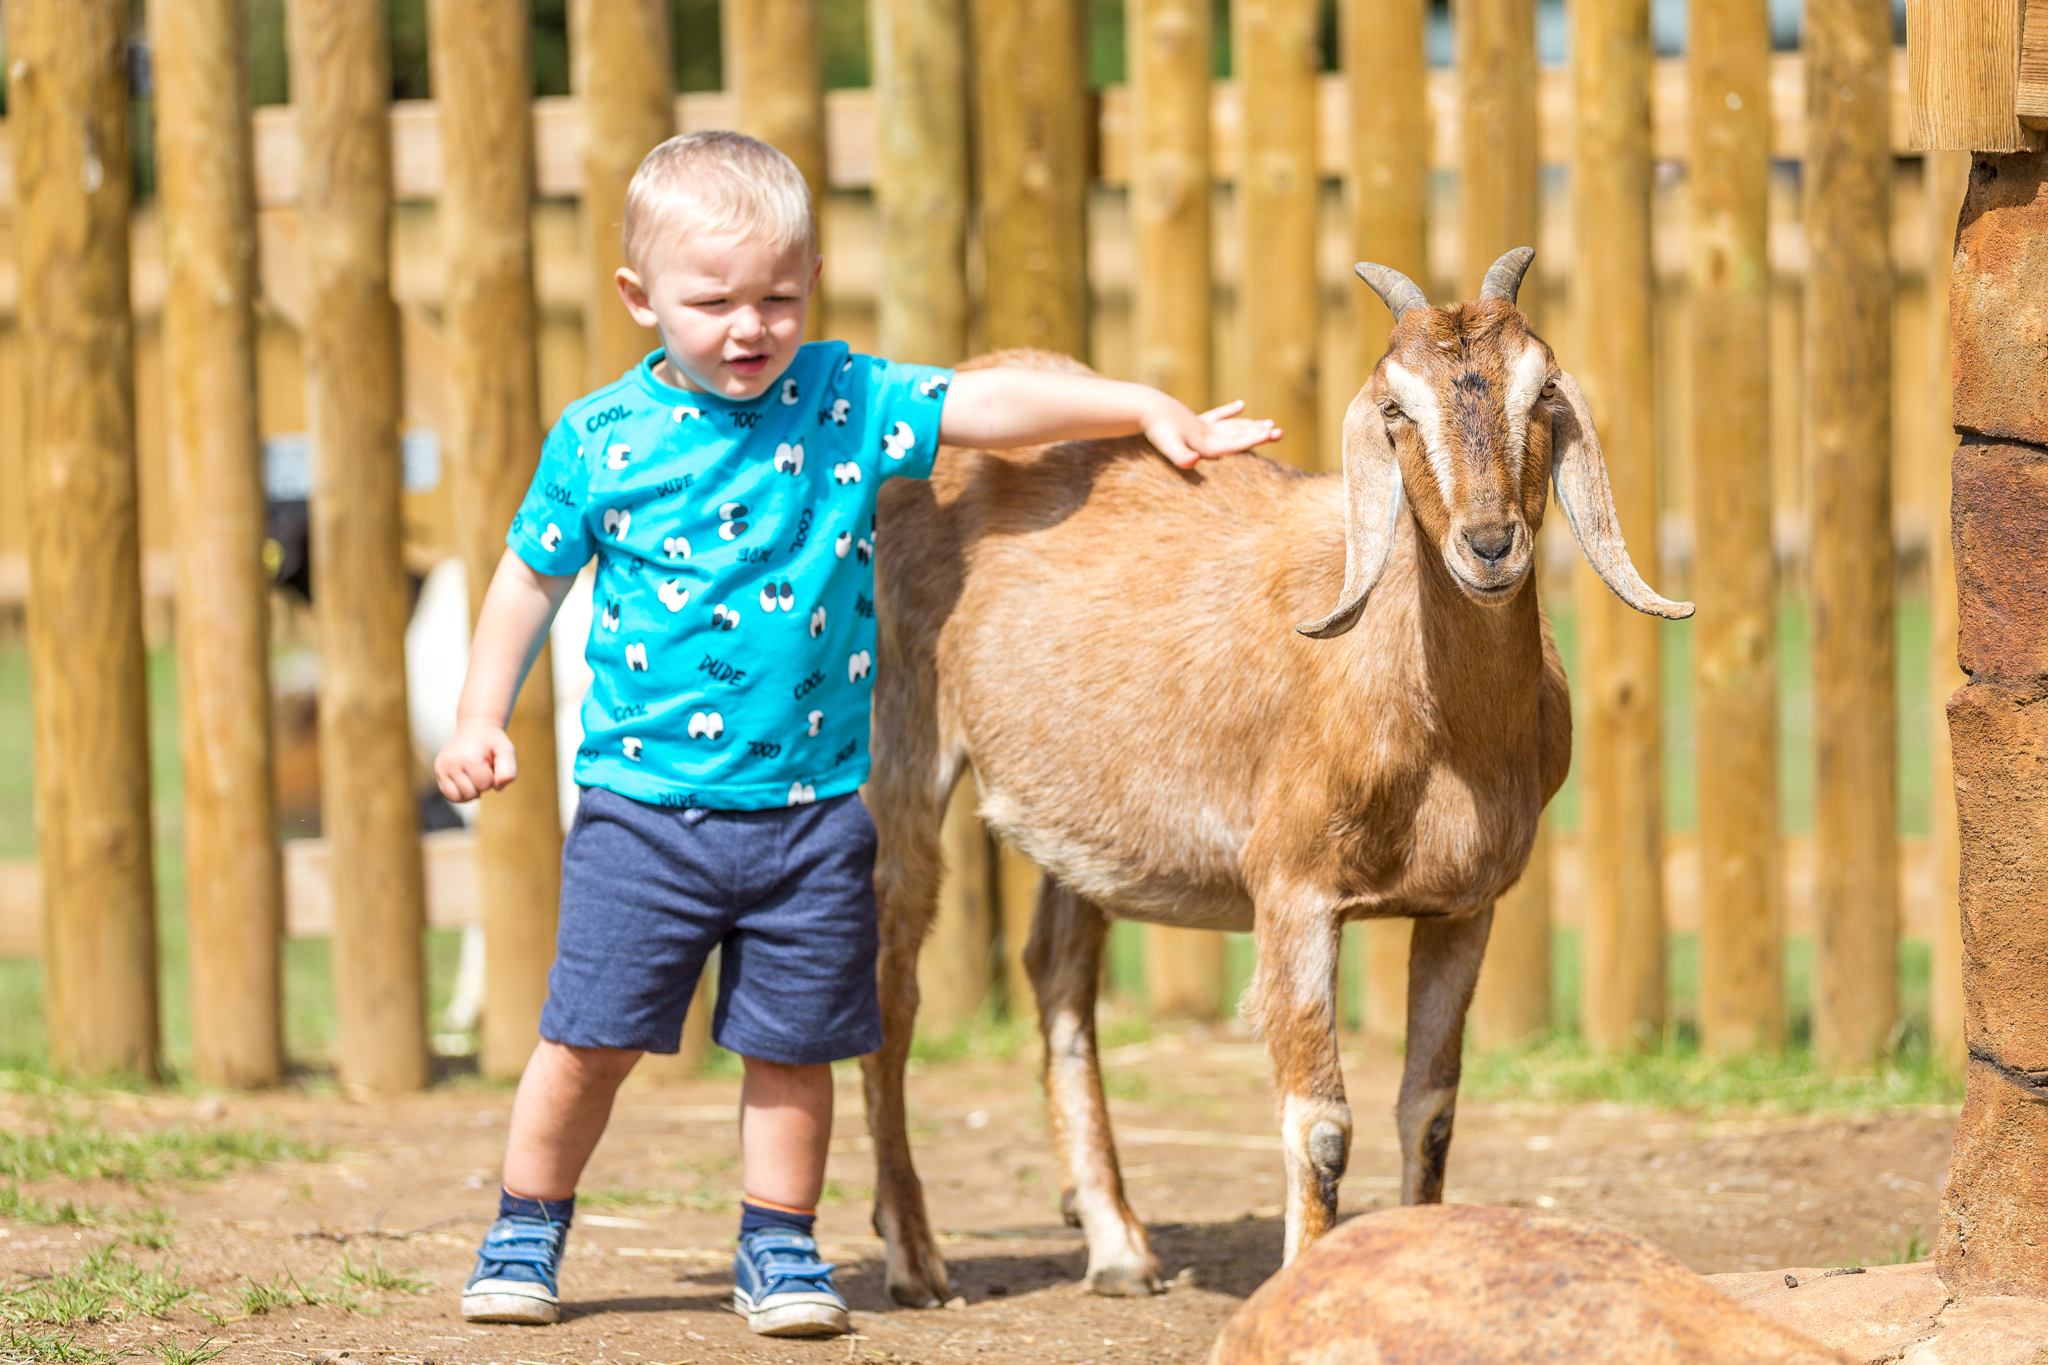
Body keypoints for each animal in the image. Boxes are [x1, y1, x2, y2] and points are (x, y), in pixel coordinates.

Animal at [859, 248, 1692, 1306]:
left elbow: (1431, 1108)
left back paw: (1118, 1244)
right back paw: (916, 1257)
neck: (1431, 722)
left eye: (1541, 390)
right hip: (900, 743)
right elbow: (1321, 1123)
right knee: (892, 980)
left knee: (1057, 972)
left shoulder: (1466, 907)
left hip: (1084, 817)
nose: (1490, 544)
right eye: (1396, 406)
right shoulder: (1292, 891)